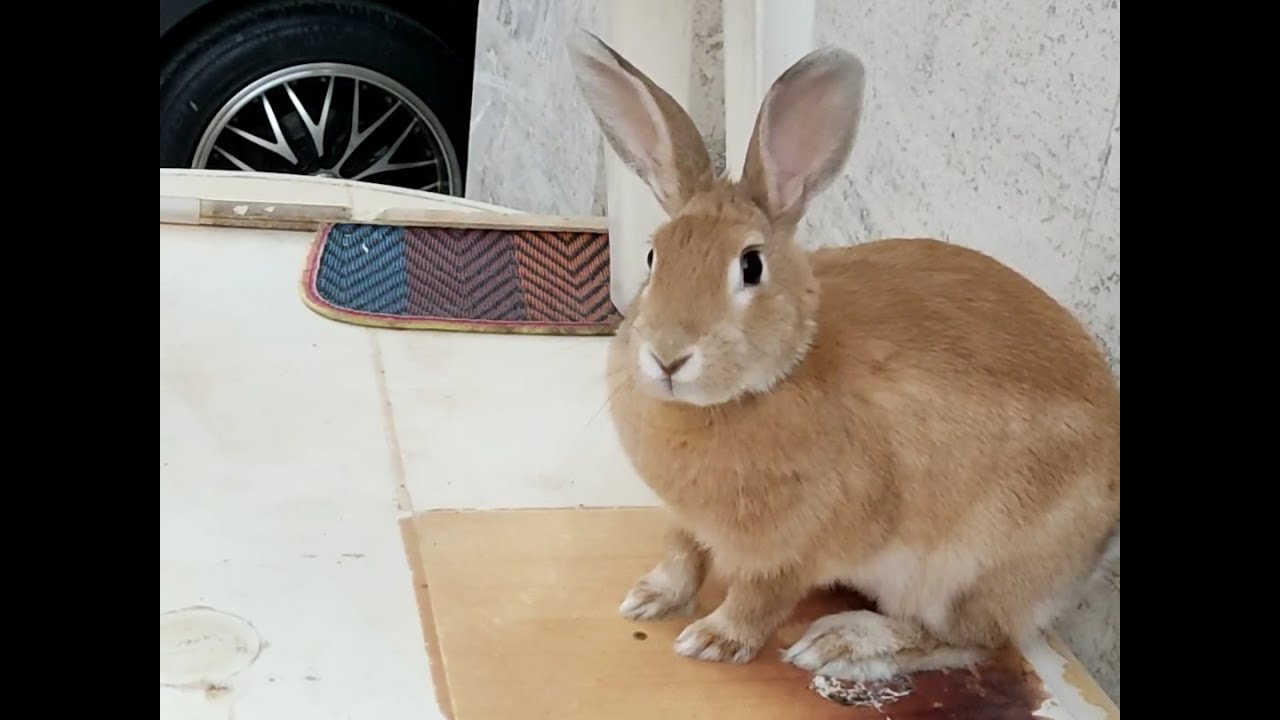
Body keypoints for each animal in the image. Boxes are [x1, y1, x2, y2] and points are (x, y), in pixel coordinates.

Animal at [566, 29, 1120, 684]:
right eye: (654, 257)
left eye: (750, 266)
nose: (668, 358)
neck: (774, 377)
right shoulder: (685, 521)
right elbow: (683, 556)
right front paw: (649, 597)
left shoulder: (790, 553)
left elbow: (758, 601)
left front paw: (712, 640)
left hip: (963, 574)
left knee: (972, 638)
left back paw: (840, 644)